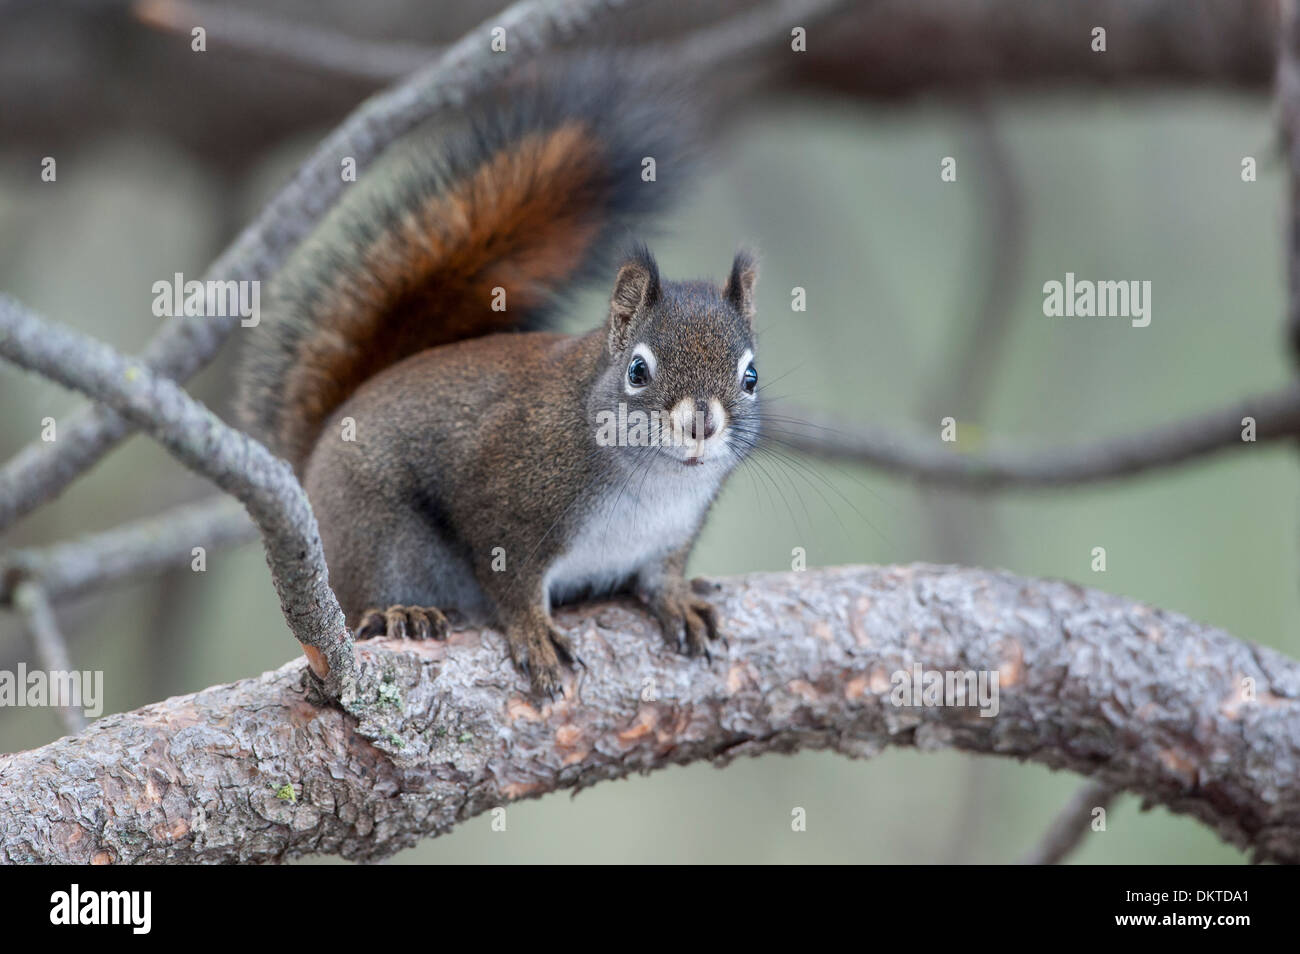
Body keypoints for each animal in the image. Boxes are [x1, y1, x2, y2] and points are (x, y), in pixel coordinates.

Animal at [236, 58, 760, 696]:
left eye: (751, 376)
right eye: (638, 370)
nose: (701, 425)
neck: (654, 483)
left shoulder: (669, 538)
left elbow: (661, 576)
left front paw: (679, 599)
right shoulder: (503, 496)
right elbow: (511, 581)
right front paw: (533, 631)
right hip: (378, 534)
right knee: (368, 595)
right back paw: (402, 610)